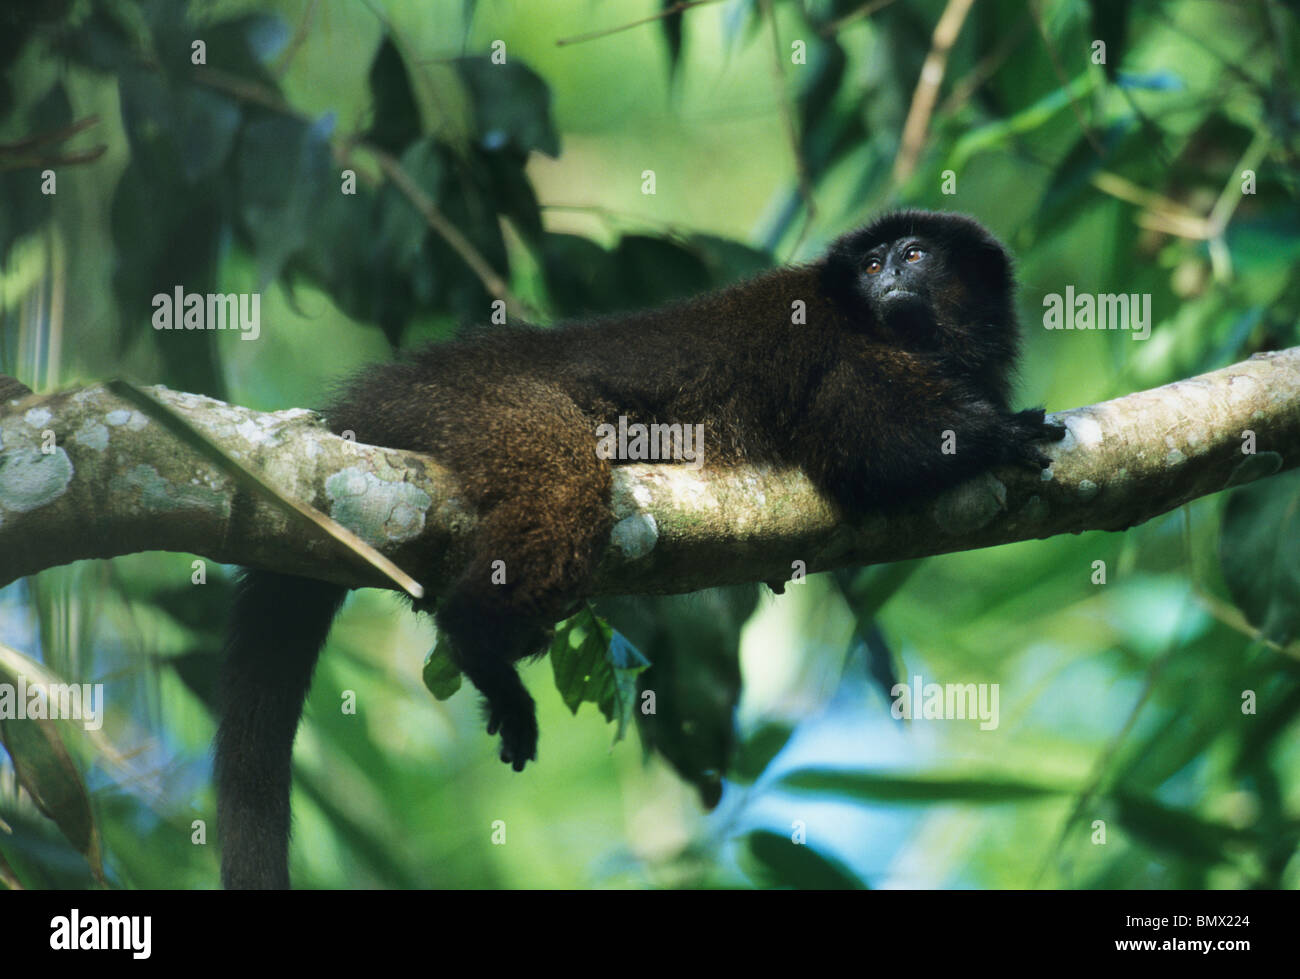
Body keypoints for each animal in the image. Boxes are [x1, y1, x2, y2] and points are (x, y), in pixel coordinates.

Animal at [215, 209, 1066, 888]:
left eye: (914, 255)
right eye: (871, 266)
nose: (889, 277)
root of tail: (388, 387)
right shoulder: (837, 347)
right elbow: (864, 442)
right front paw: (997, 434)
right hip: (476, 407)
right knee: (563, 477)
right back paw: (479, 637)